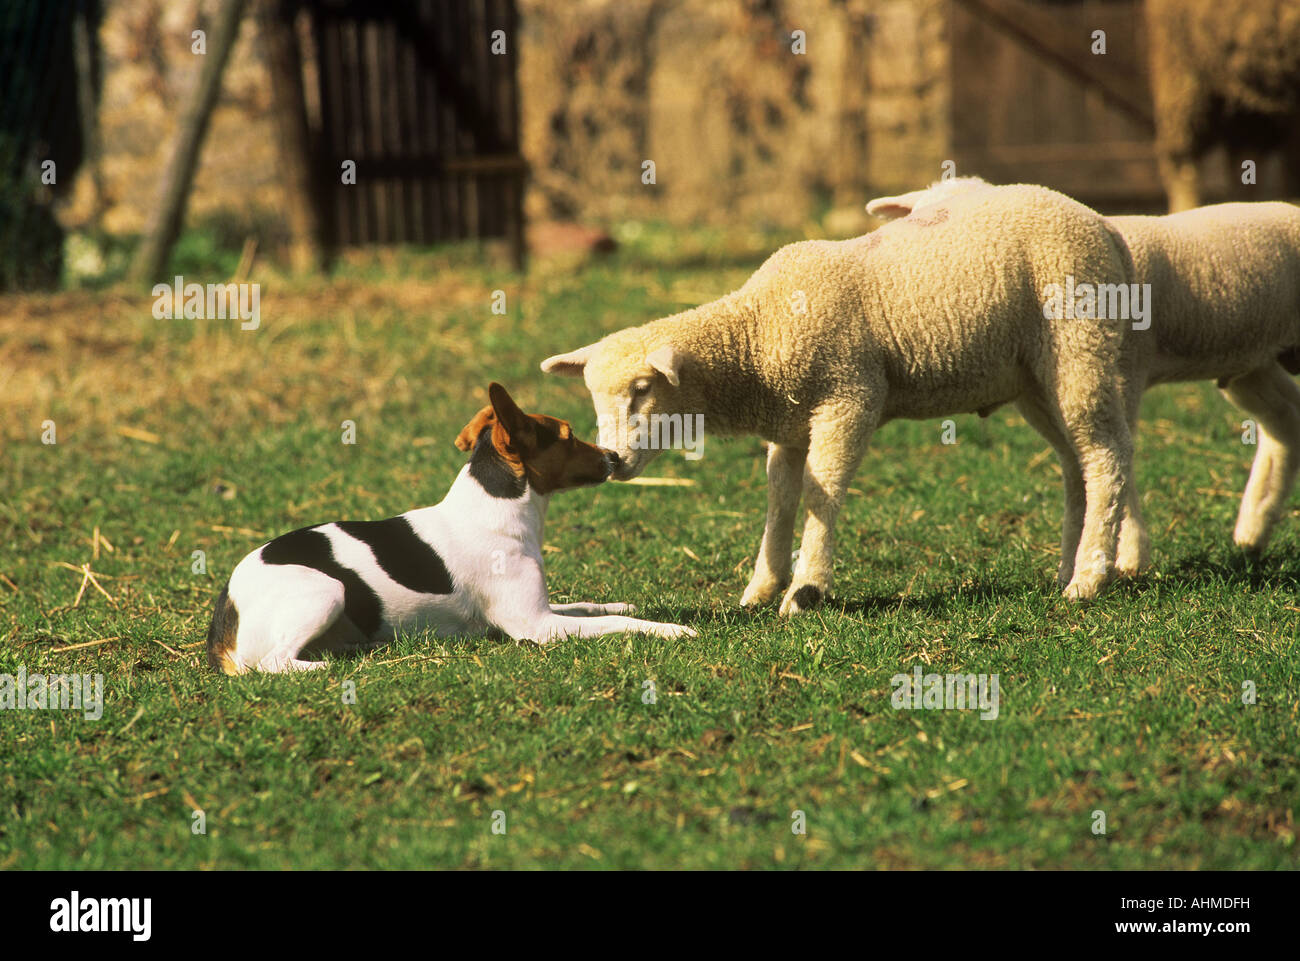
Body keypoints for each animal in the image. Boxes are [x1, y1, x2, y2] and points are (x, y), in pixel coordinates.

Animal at [542, 184, 1141, 614]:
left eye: (643, 390)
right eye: (592, 396)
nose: (610, 458)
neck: (757, 334)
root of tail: (1104, 226)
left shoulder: (849, 396)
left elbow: (820, 492)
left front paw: (806, 590)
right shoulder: (788, 424)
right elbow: (780, 499)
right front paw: (760, 589)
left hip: (1080, 343)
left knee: (1107, 457)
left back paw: (1088, 578)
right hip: (1036, 379)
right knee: (1078, 463)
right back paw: (1071, 567)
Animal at [867, 176, 1300, 561]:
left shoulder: (1125, 369)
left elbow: (1119, 455)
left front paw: (1128, 555)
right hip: (1253, 366)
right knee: (1284, 421)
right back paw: (1253, 530)